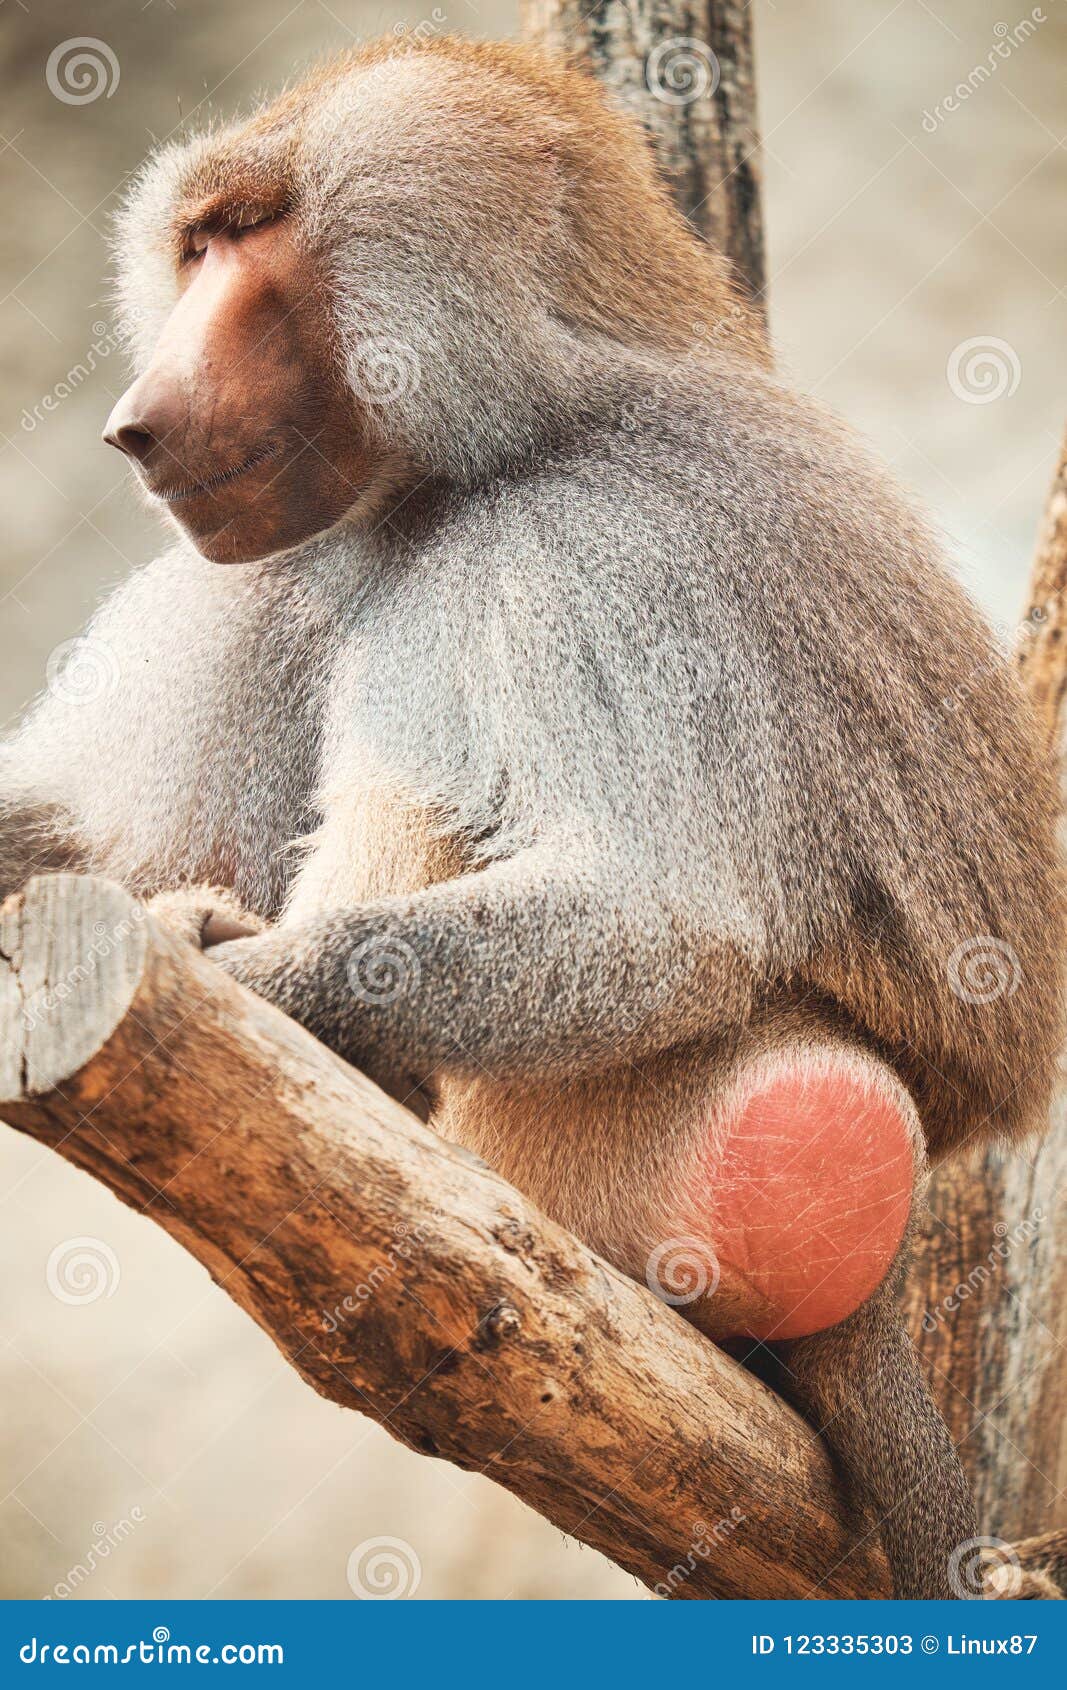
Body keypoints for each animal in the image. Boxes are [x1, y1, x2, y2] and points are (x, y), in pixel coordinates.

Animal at [1, 35, 1062, 1601]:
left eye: (247, 235)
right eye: (191, 246)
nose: (133, 423)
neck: (504, 438)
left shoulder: (580, 554)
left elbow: (659, 927)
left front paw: (227, 970)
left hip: (616, 1146)